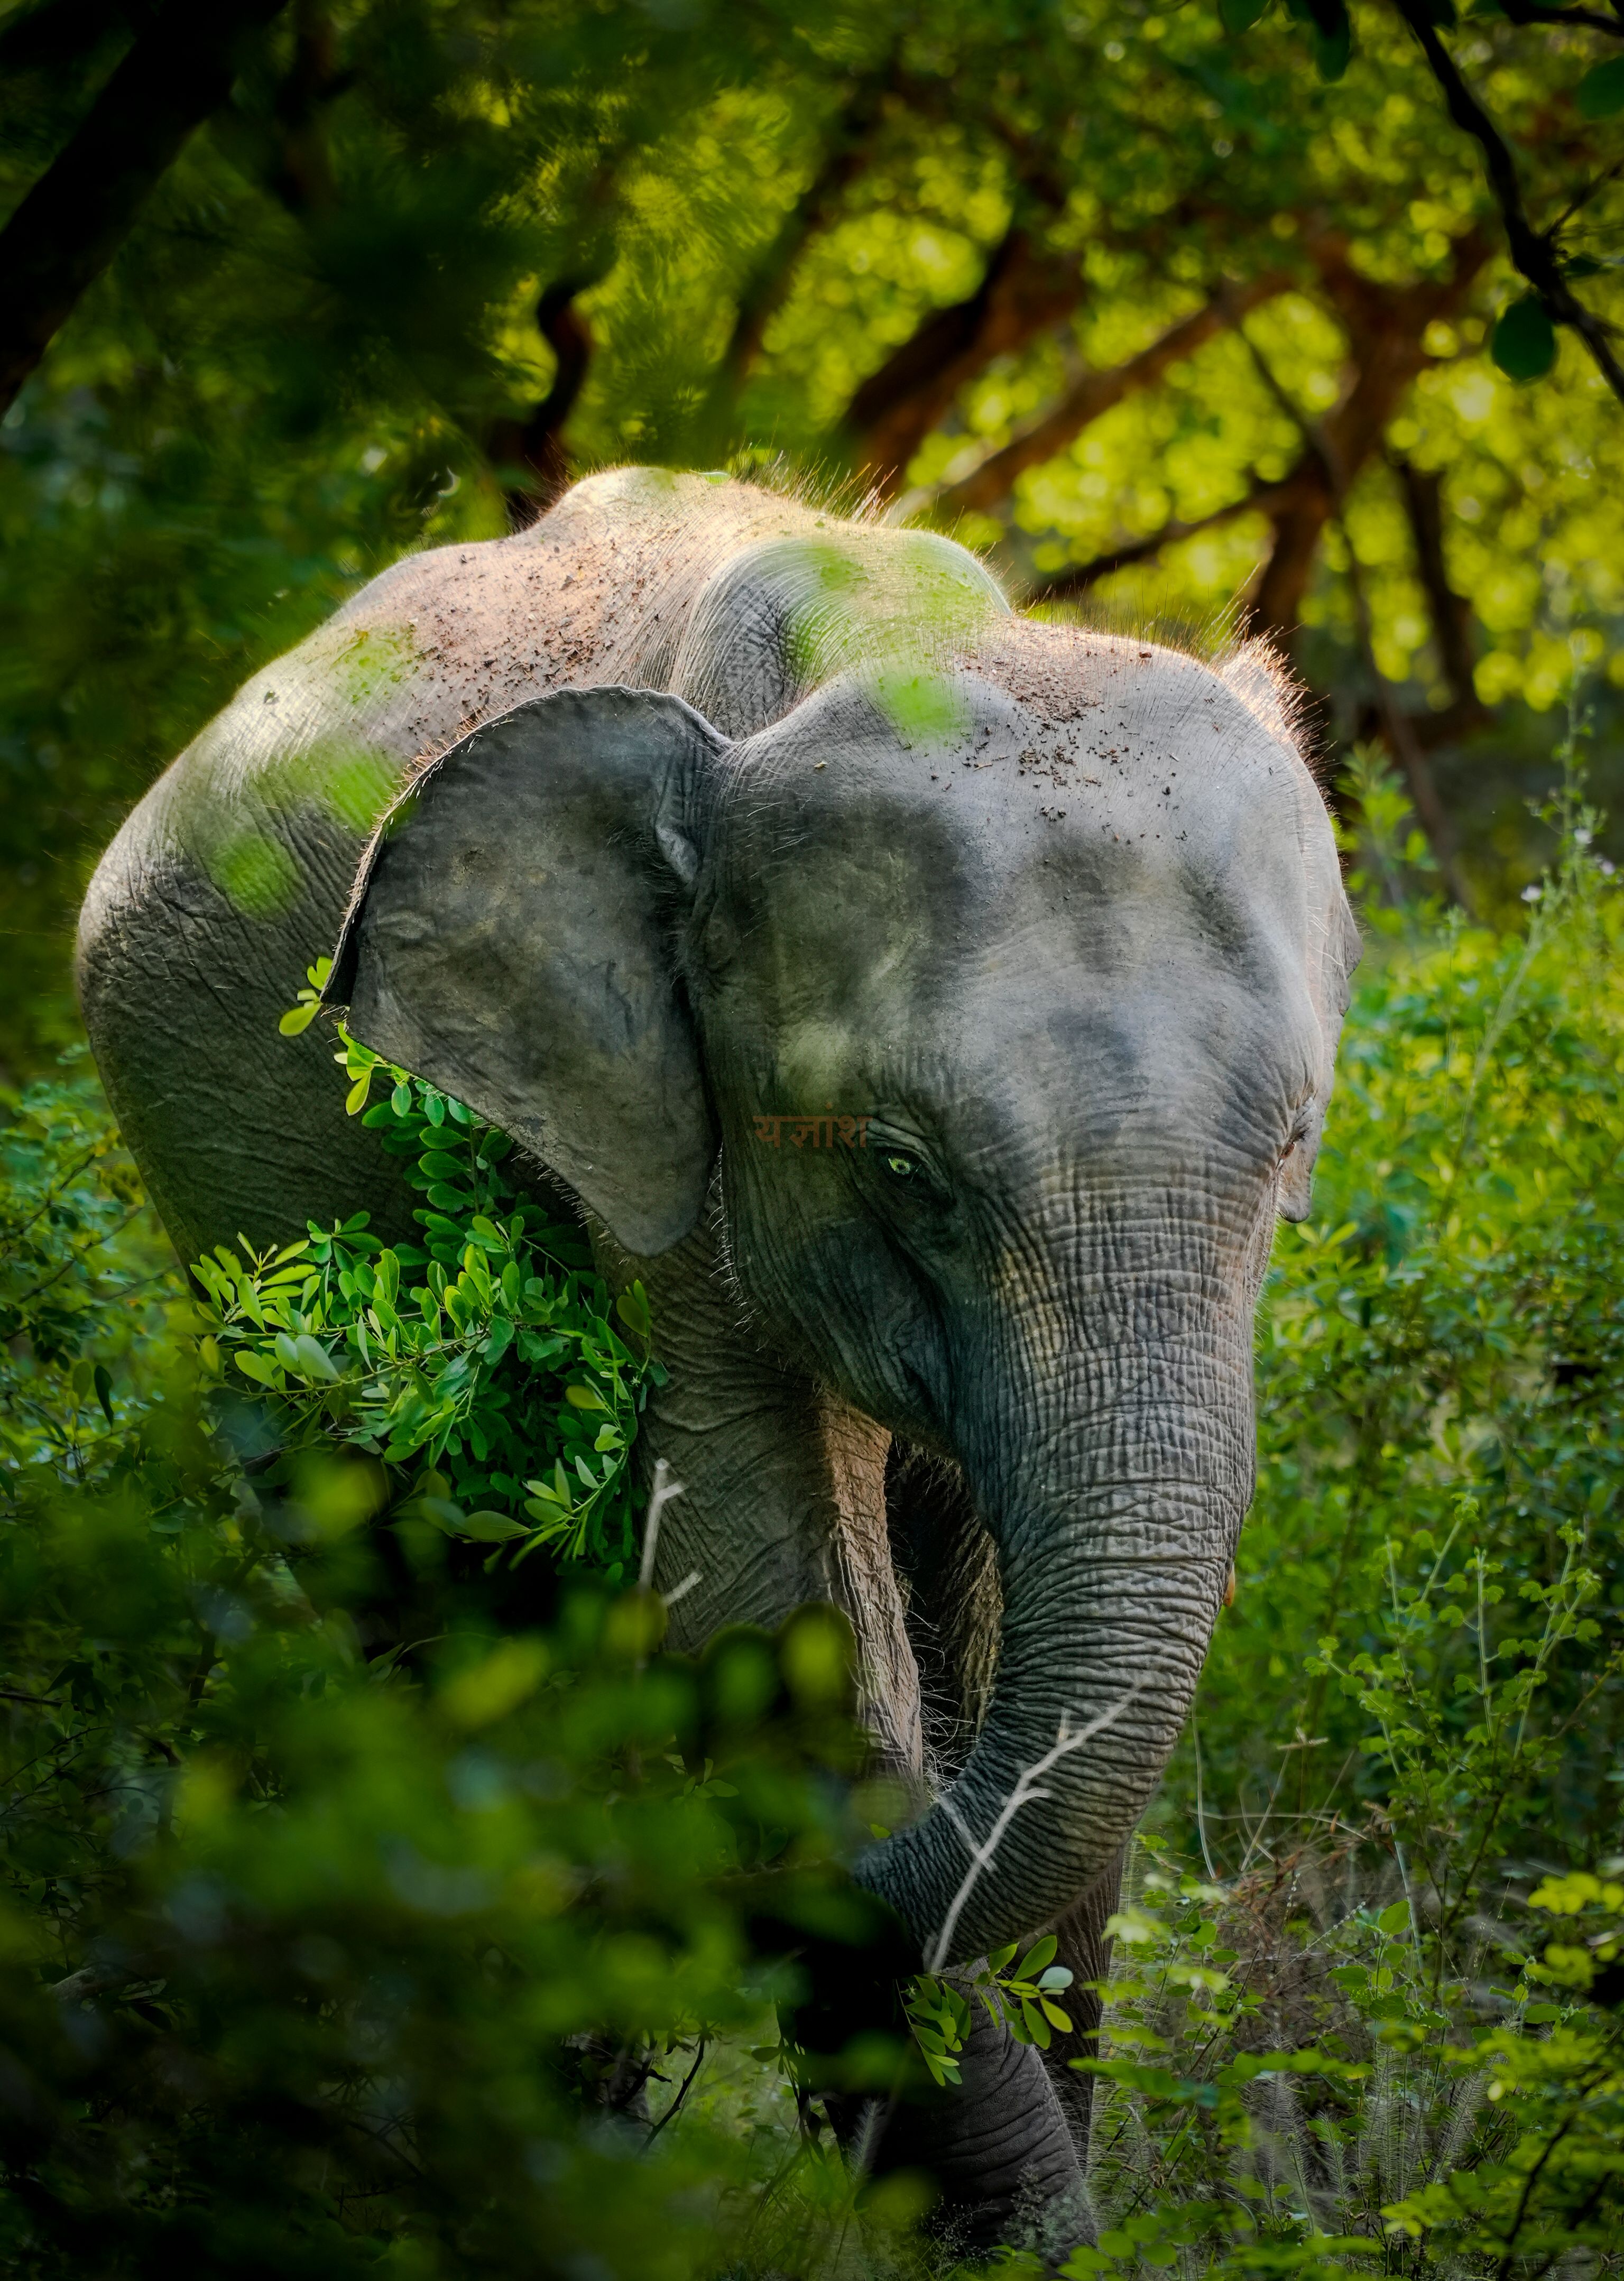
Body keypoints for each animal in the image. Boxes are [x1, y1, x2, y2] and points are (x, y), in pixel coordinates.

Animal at [78, 466, 1359, 2256]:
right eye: (901, 1168)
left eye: (1294, 1144)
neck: (906, 633)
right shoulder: (645, 1133)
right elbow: (775, 1620)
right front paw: (1029, 2241)